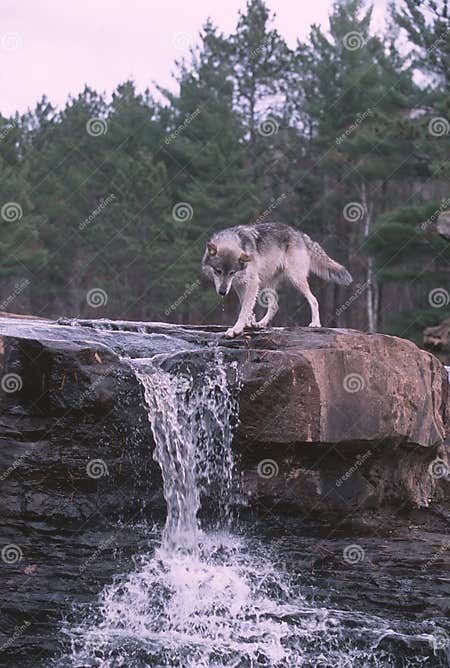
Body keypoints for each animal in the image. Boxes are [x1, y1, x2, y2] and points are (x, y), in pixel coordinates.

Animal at [202, 222, 352, 338]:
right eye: (218, 271)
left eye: (231, 273)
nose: (222, 292)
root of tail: (300, 234)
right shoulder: (240, 285)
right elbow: (248, 307)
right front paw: (249, 323)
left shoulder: (252, 283)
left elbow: (244, 310)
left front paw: (235, 329)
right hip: (267, 284)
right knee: (275, 306)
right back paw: (261, 324)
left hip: (296, 279)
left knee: (314, 299)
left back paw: (315, 324)